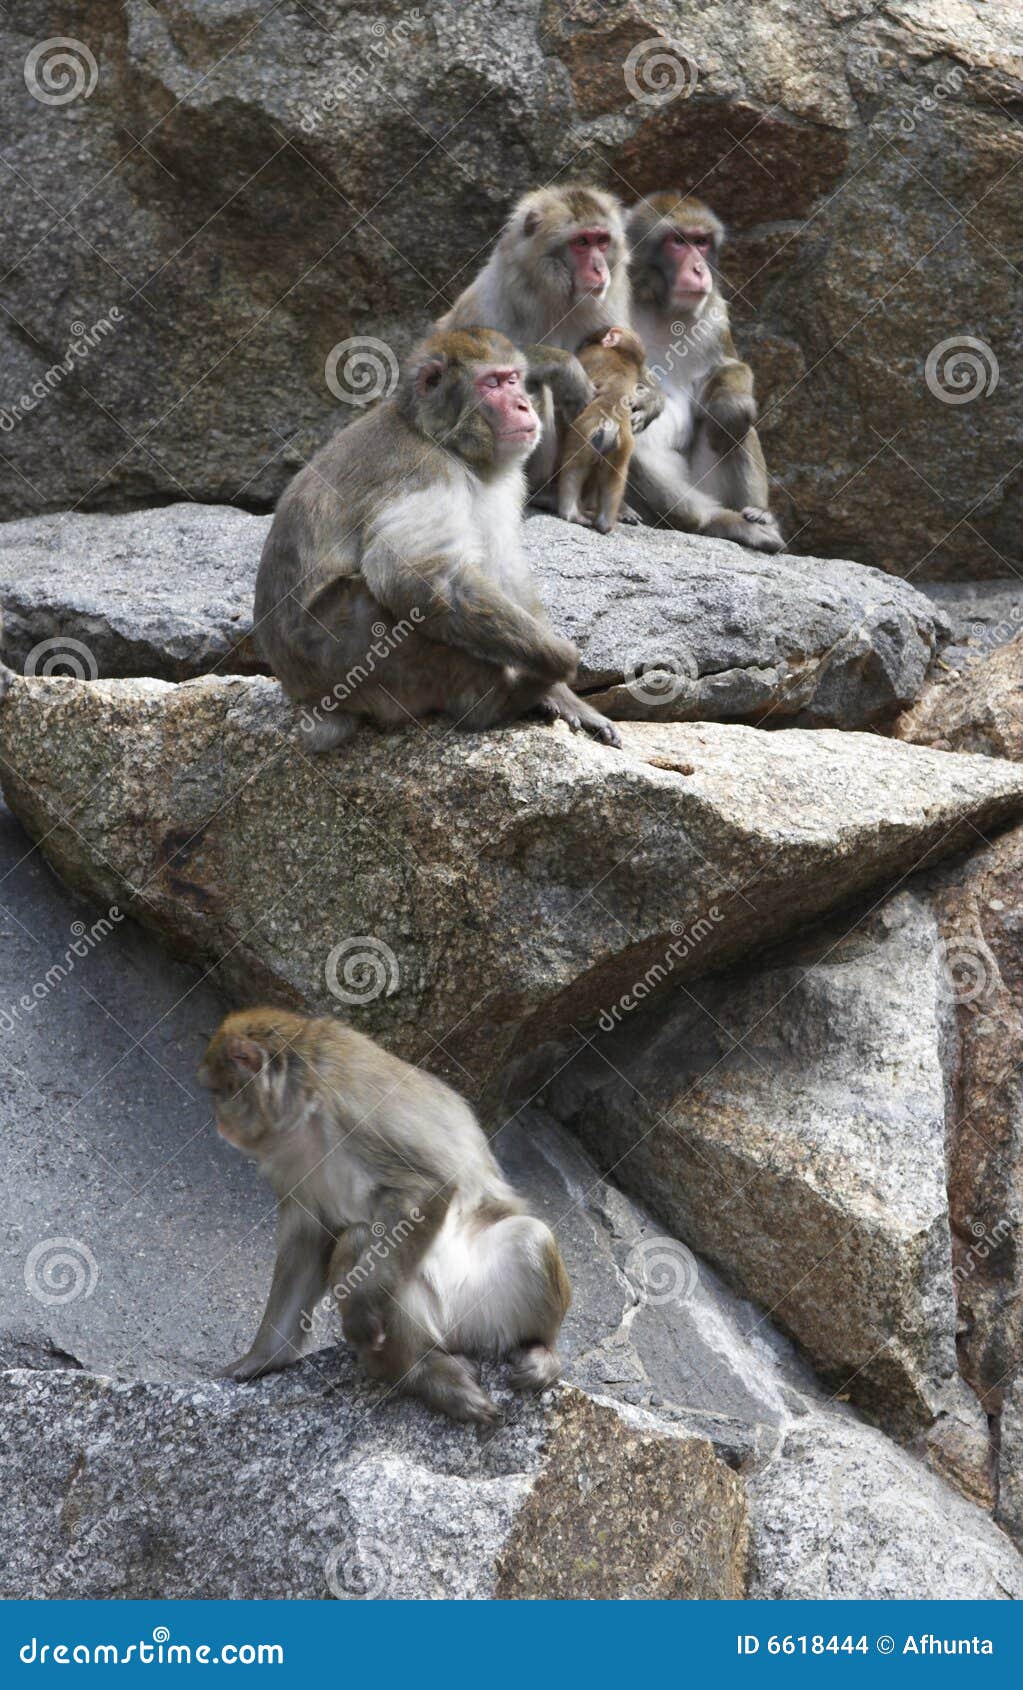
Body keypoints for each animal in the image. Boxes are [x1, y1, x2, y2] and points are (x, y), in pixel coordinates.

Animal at [199, 1008, 572, 1426]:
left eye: (218, 1092)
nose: (217, 1120)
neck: (302, 1100)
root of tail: (459, 1333)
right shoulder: (290, 1161)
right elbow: (309, 1239)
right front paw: (262, 1358)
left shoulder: (352, 1102)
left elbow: (426, 1188)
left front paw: (360, 1311)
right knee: (358, 1241)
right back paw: (421, 1373)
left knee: (530, 1236)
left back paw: (539, 1350)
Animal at [254, 325, 621, 752]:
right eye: (492, 383)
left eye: (513, 379)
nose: (522, 406)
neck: (440, 439)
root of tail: (300, 692)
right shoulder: (426, 470)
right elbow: (415, 576)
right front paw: (559, 661)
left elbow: (500, 565)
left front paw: (566, 696)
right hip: (334, 659)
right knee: (381, 609)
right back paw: (498, 702)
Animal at [438, 184, 664, 508]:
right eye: (581, 242)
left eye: (602, 241)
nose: (599, 269)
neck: (562, 296)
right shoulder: (501, 292)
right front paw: (568, 369)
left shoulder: (612, 298)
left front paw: (653, 399)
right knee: (535, 385)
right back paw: (543, 492)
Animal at [556, 326, 647, 534]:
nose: (583, 342)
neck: (622, 354)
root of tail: (611, 425)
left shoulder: (591, 355)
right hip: (621, 450)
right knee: (613, 481)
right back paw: (605, 524)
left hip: (583, 434)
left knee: (574, 467)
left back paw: (571, 514)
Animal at [625, 192, 784, 553]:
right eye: (677, 241)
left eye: (701, 241)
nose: (699, 268)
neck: (659, 306)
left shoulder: (713, 311)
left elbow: (727, 368)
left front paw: (731, 404)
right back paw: (718, 522)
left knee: (731, 425)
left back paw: (758, 515)